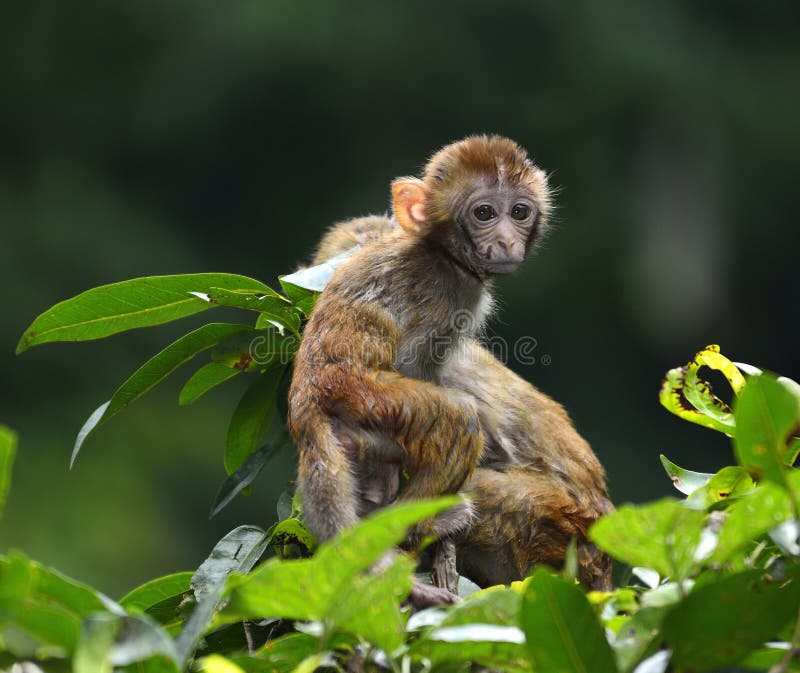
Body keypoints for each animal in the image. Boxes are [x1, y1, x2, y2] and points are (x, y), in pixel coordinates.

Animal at [288, 135, 611, 603]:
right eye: (484, 213)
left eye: (519, 211)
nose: (506, 241)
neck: (438, 252)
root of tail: (306, 399)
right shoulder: (450, 299)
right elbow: (418, 365)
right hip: (366, 396)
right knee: (458, 417)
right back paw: (419, 524)